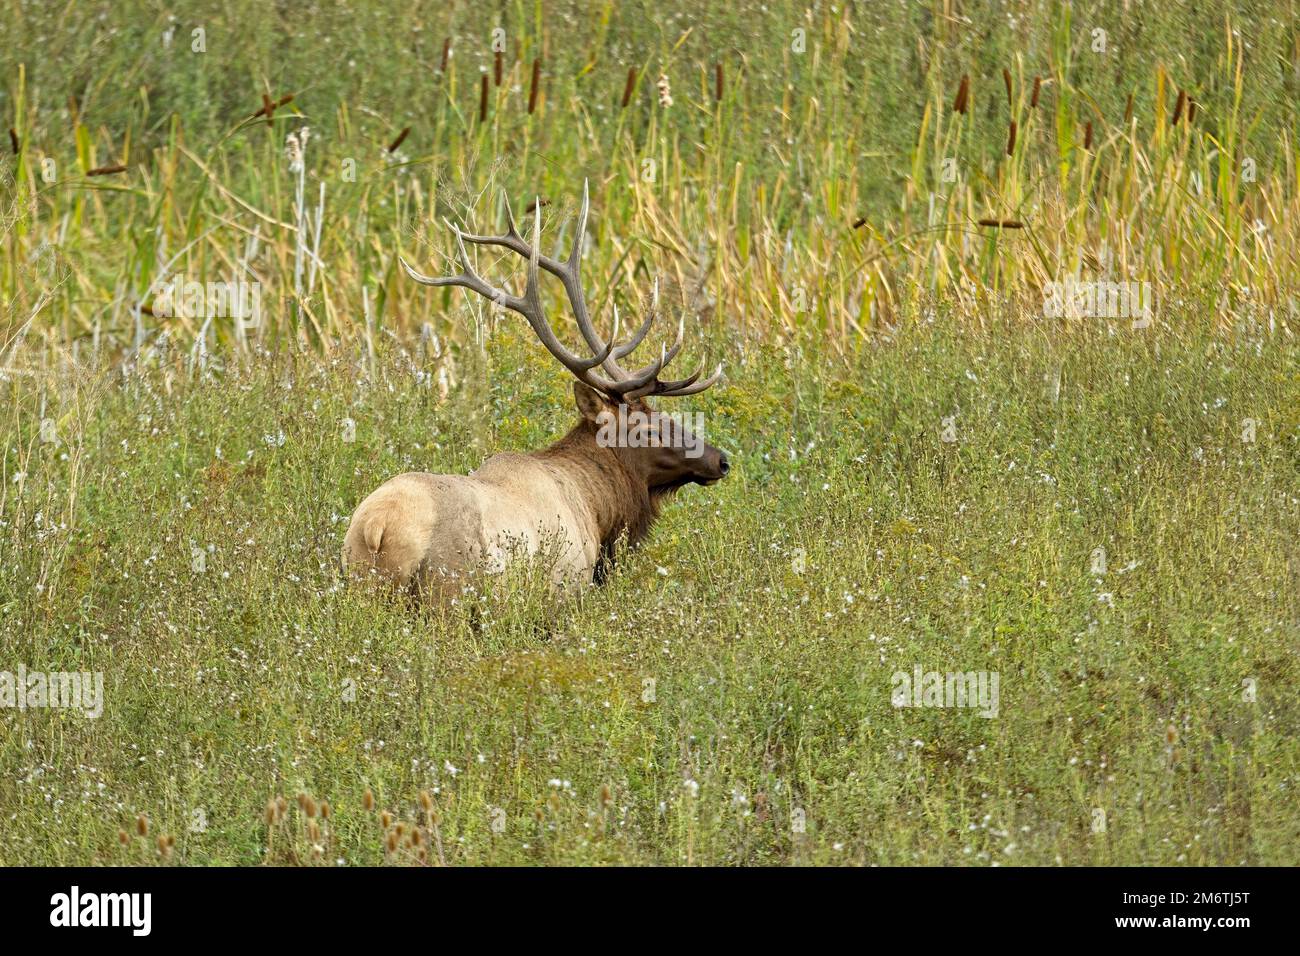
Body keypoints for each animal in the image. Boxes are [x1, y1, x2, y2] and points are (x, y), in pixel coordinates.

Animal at [342, 182, 728, 604]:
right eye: (649, 429)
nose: (721, 459)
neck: (597, 510)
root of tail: (376, 526)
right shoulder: (567, 586)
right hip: (449, 590)